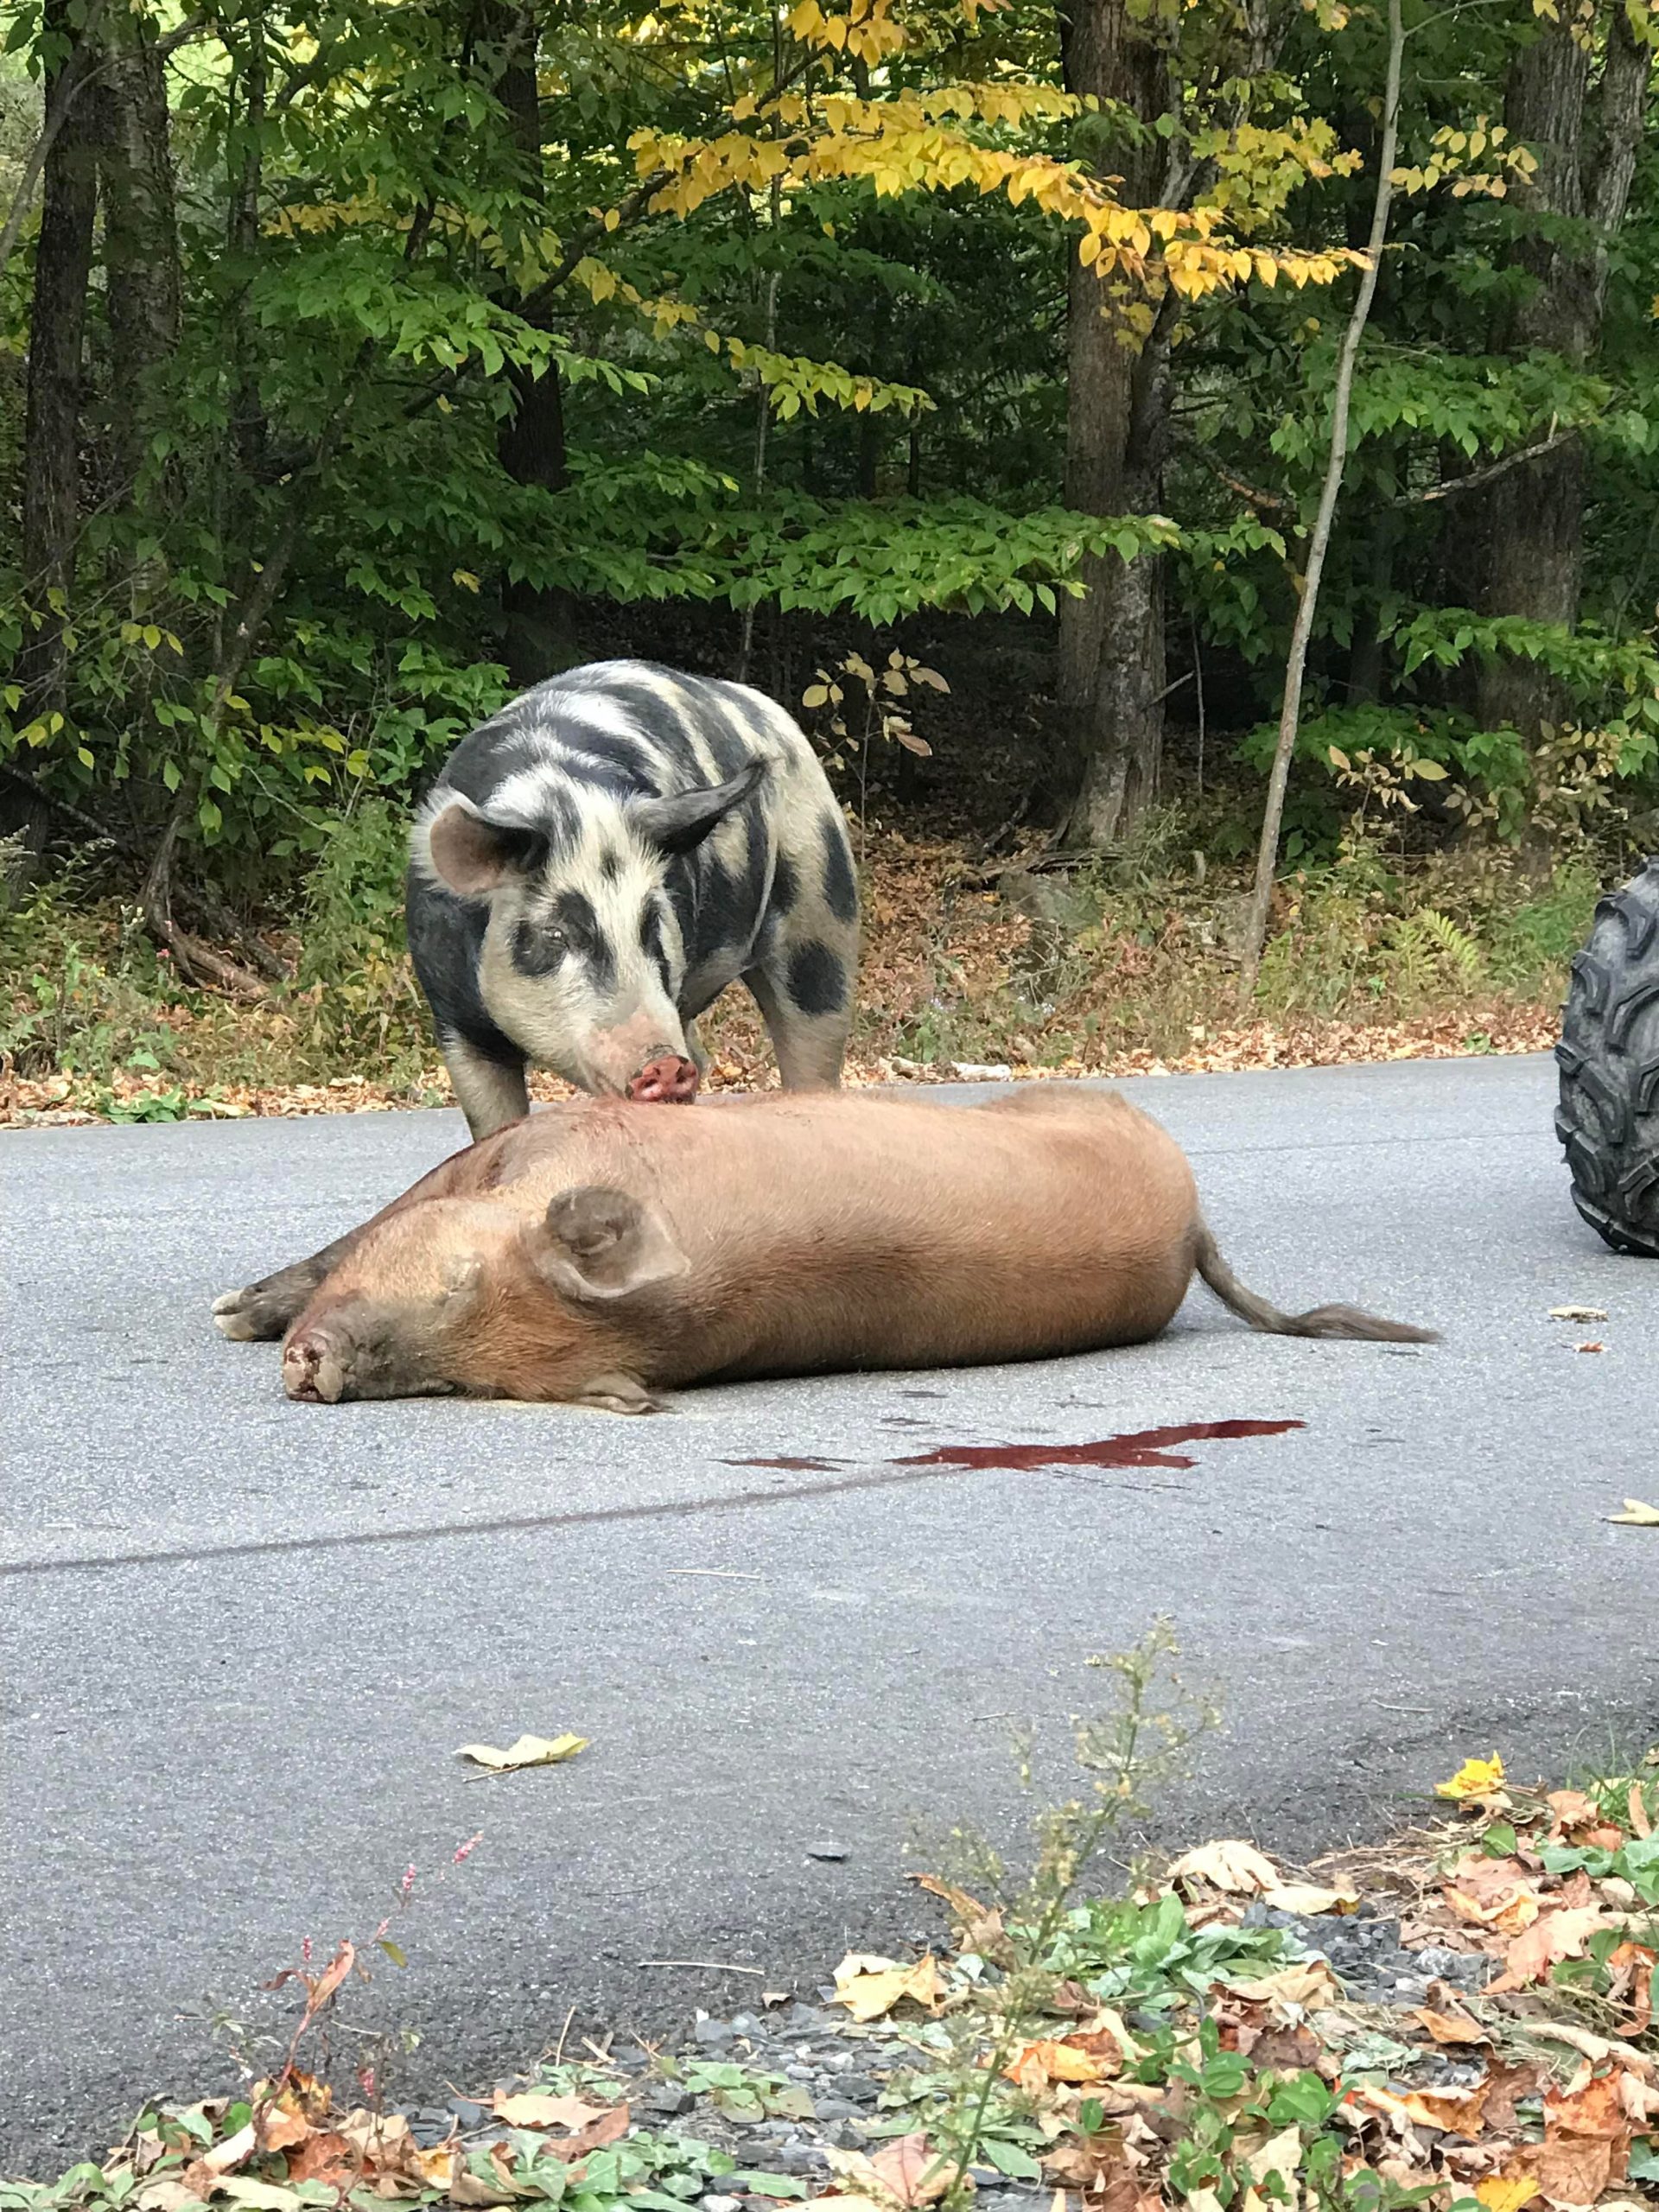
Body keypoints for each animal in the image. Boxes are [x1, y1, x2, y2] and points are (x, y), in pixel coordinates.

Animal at [211, 1086, 1434, 1408]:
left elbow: (361, 1225)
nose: (314, 1370)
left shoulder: (522, 1139)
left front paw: (225, 1311)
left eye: (460, 1377)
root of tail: (1192, 1224)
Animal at [406, 659, 859, 1138]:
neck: (564, 799)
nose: (664, 1064)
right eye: (556, 933)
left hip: (824, 916)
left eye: (651, 922)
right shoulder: (456, 1025)